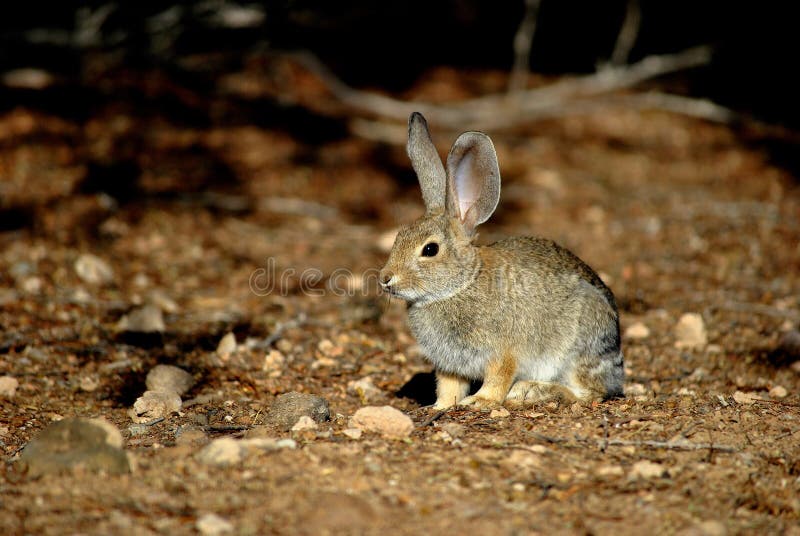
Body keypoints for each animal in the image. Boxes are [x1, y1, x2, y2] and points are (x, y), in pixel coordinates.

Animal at [379, 112, 624, 410]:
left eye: (430, 249)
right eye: (398, 237)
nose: (385, 279)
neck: (459, 286)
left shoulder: (502, 352)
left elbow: (498, 378)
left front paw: (479, 401)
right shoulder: (450, 365)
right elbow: (449, 387)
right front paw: (441, 406)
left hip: (577, 350)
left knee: (589, 392)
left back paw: (532, 392)